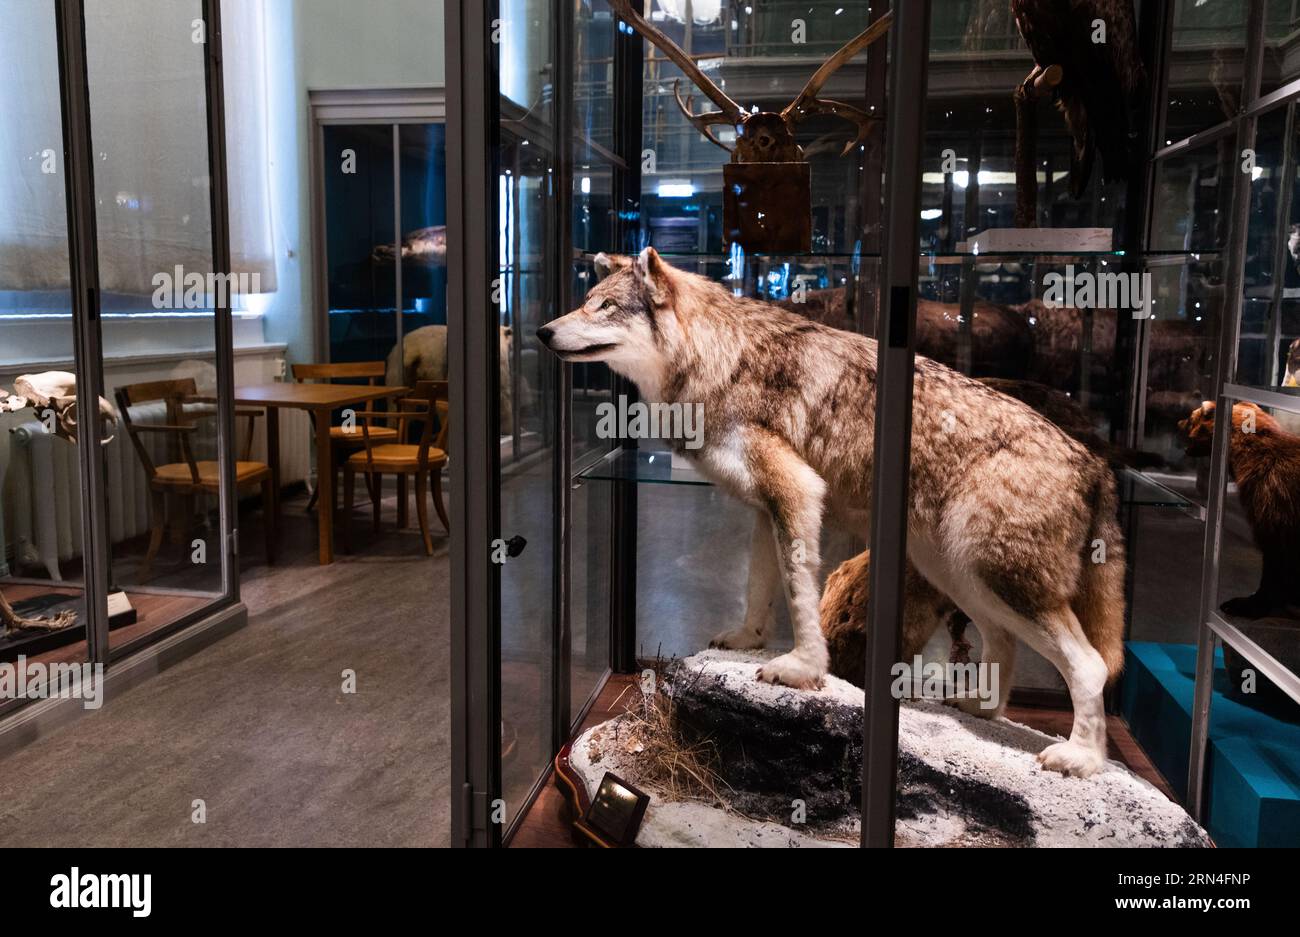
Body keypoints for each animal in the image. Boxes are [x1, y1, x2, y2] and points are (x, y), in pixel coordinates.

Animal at [538, 248, 1127, 776]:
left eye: (606, 306)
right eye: (586, 301)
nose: (543, 332)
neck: (721, 354)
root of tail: (1095, 462)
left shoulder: (798, 492)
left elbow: (800, 594)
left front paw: (802, 668)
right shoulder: (765, 508)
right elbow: (758, 586)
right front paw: (748, 640)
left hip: (995, 578)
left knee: (1090, 665)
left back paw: (1081, 760)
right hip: (961, 575)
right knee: (1001, 641)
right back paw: (981, 710)